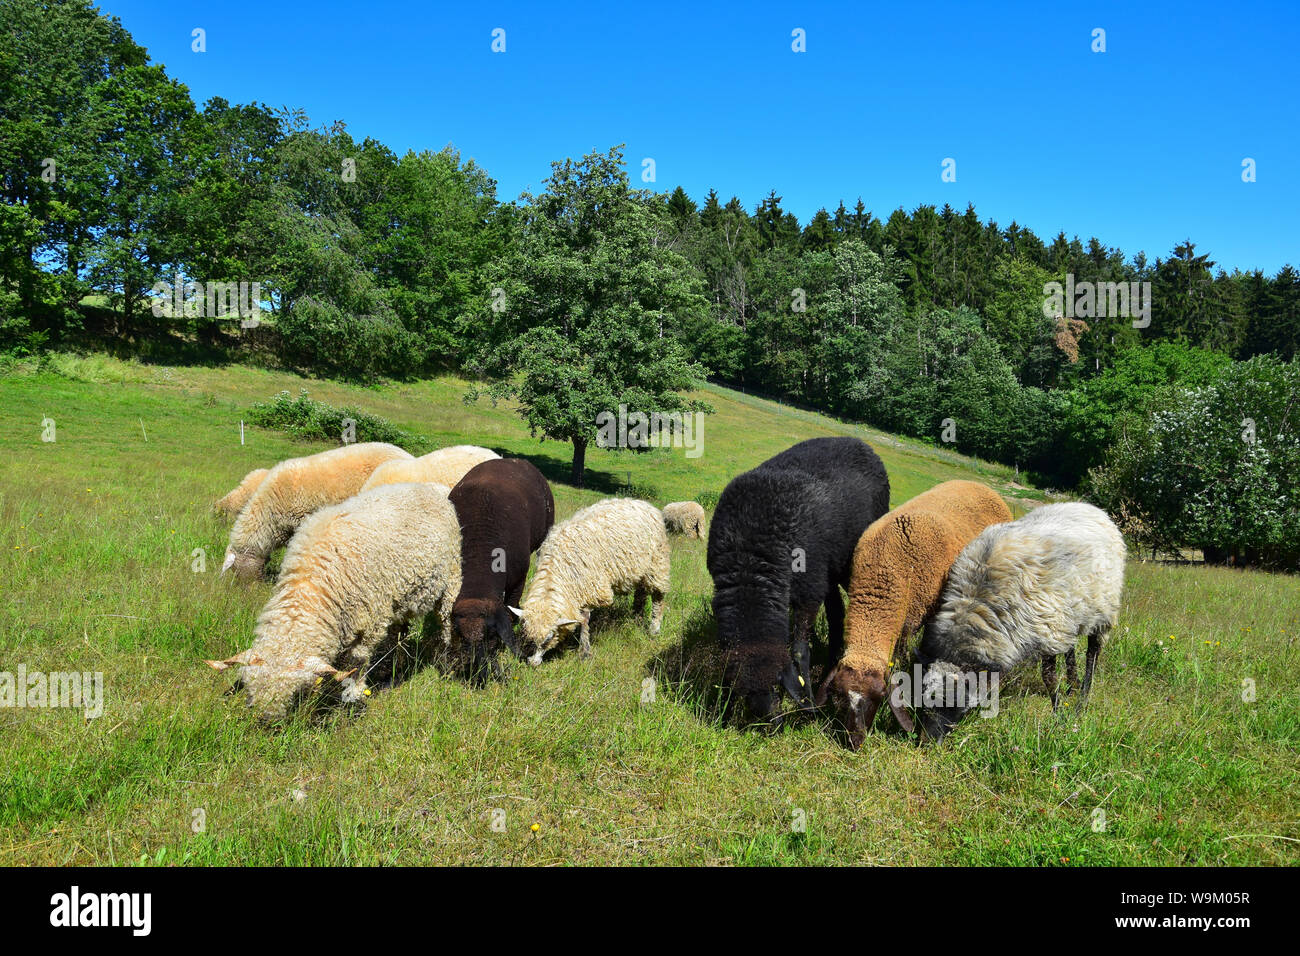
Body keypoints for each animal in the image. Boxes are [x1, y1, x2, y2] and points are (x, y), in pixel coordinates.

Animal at [207, 482, 462, 722]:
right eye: (251, 690)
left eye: (296, 693)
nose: (268, 721)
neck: (312, 583)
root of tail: (432, 486)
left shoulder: (369, 624)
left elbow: (357, 663)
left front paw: (353, 694)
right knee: (399, 632)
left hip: (451, 576)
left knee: (446, 622)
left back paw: (447, 665)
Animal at [448, 457, 555, 682]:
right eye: (462, 637)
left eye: (491, 635)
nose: (479, 673)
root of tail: (513, 460)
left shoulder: (518, 579)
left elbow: (510, 608)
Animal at [510, 498, 671, 666]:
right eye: (527, 635)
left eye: (549, 638)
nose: (532, 663)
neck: (558, 566)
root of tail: (644, 503)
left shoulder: (590, 587)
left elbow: (584, 620)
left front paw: (584, 651)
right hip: (642, 569)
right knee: (641, 593)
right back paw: (637, 618)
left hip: (658, 563)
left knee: (658, 596)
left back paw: (654, 629)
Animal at [707, 436, 890, 727]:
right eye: (744, 691)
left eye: (776, 683)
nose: (771, 722)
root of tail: (860, 442)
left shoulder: (809, 591)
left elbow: (800, 651)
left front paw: (809, 704)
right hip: (828, 570)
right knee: (837, 614)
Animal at [911, 502, 1127, 742]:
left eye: (956, 699)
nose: (928, 741)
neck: (977, 603)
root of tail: (1090, 507)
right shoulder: (1054, 627)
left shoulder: (1046, 631)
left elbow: (1049, 677)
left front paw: (1058, 715)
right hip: (1069, 617)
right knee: (1070, 648)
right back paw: (1073, 686)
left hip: (1103, 611)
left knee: (1093, 654)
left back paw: (1082, 701)